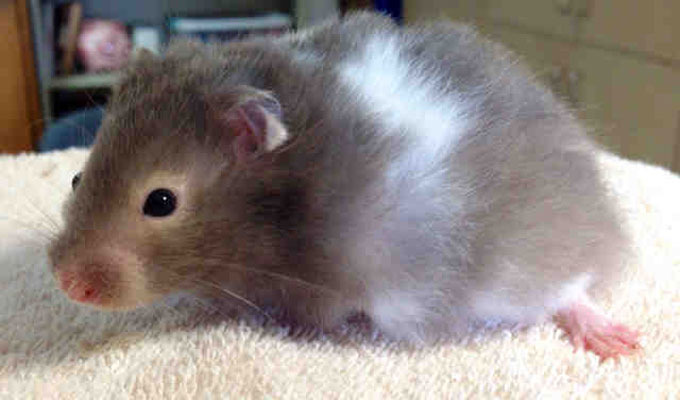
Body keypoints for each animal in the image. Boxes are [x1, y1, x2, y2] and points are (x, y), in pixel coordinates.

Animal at [49, 12, 639, 359]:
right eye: (76, 177)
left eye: (161, 202)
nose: (67, 285)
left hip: (523, 262)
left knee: (569, 290)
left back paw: (615, 340)